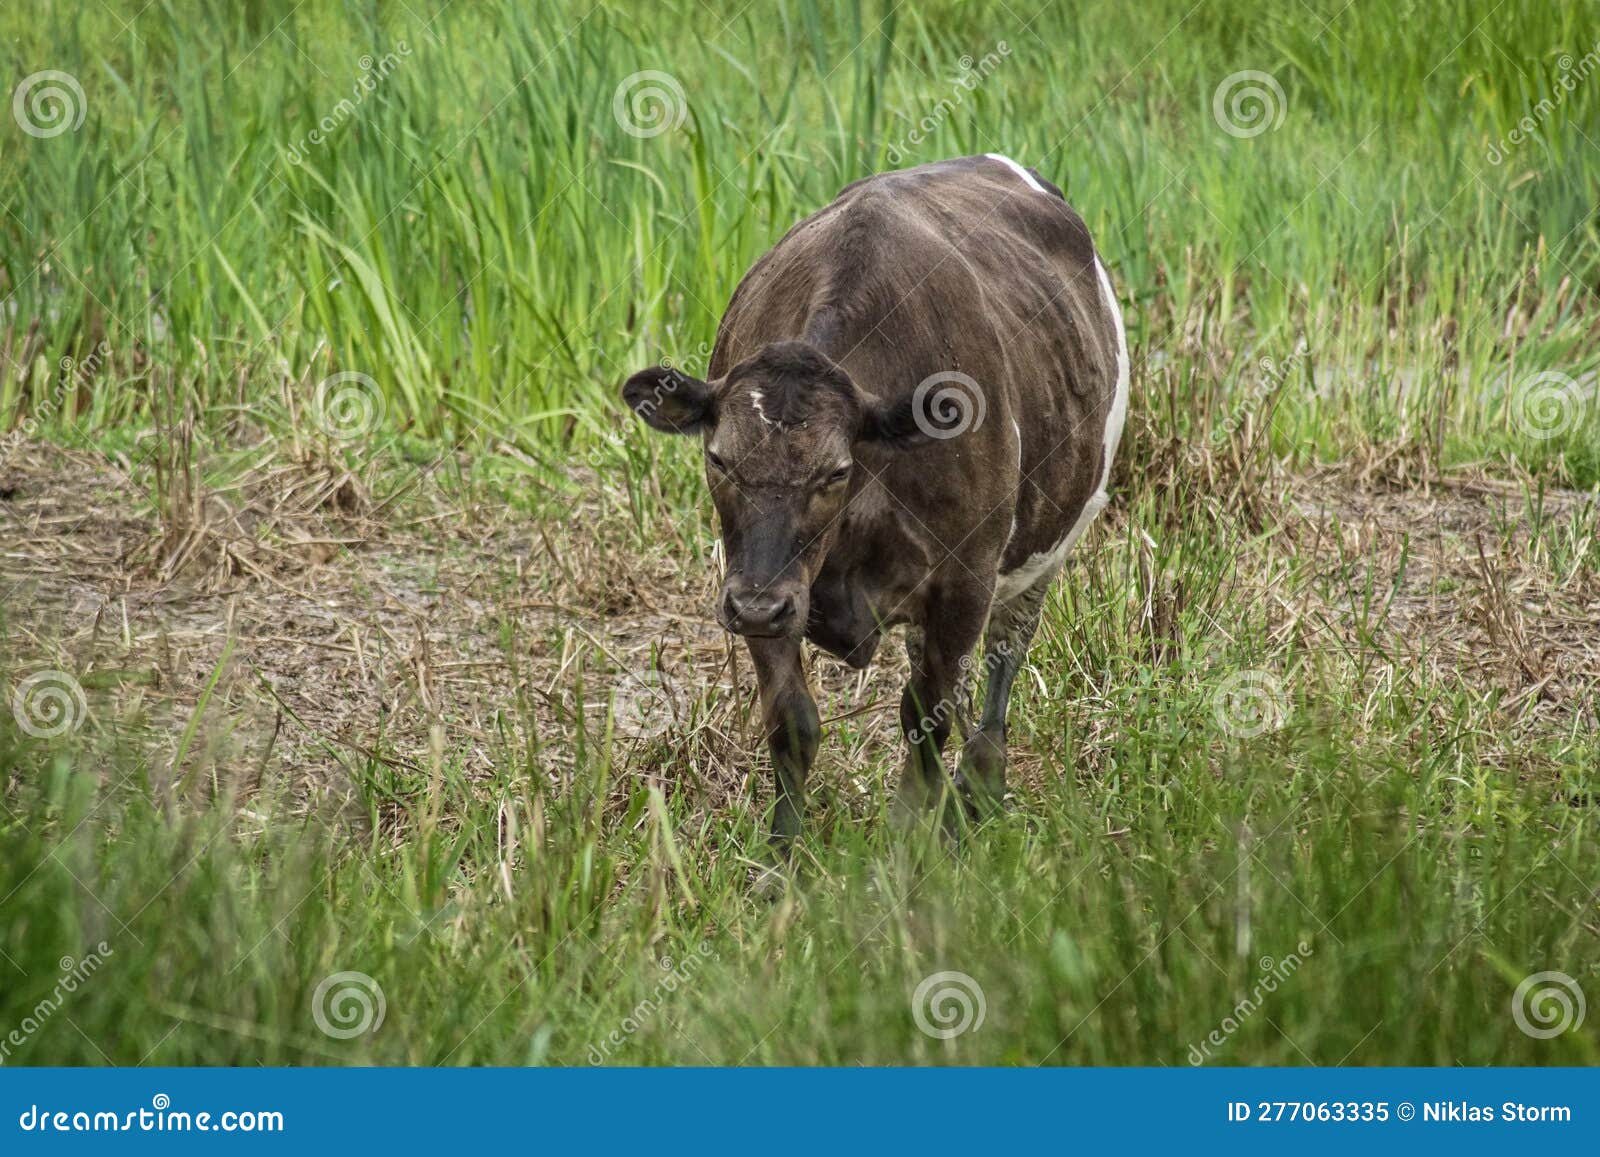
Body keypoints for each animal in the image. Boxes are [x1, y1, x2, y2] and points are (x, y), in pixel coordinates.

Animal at [621, 154, 1129, 854]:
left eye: (836, 470)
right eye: (719, 459)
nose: (756, 606)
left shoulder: (964, 581)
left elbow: (924, 718)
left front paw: (906, 848)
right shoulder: (761, 585)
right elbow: (792, 721)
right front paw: (781, 857)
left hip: (1043, 555)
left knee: (1003, 661)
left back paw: (981, 785)